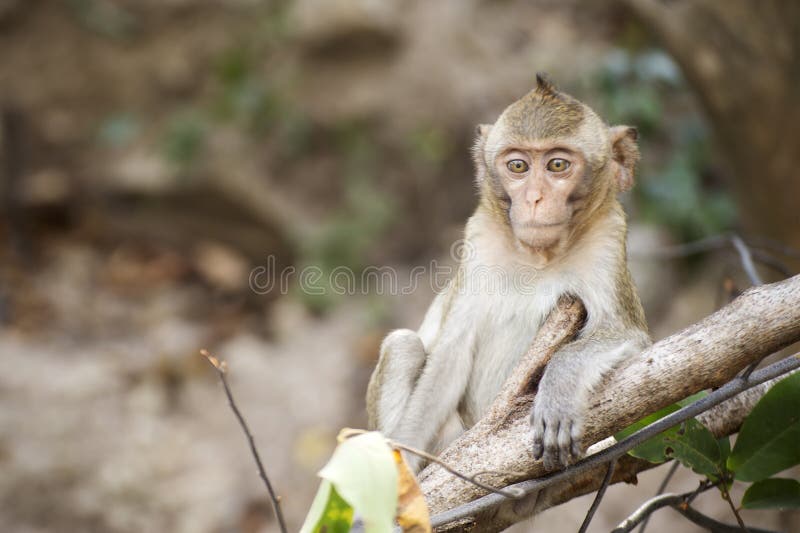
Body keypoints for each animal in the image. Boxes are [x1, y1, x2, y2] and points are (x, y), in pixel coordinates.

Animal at [366, 74, 650, 473]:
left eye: (557, 165)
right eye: (517, 166)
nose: (533, 199)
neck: (538, 257)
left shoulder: (608, 239)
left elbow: (626, 333)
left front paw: (557, 390)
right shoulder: (479, 241)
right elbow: (449, 358)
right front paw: (403, 462)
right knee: (403, 346)